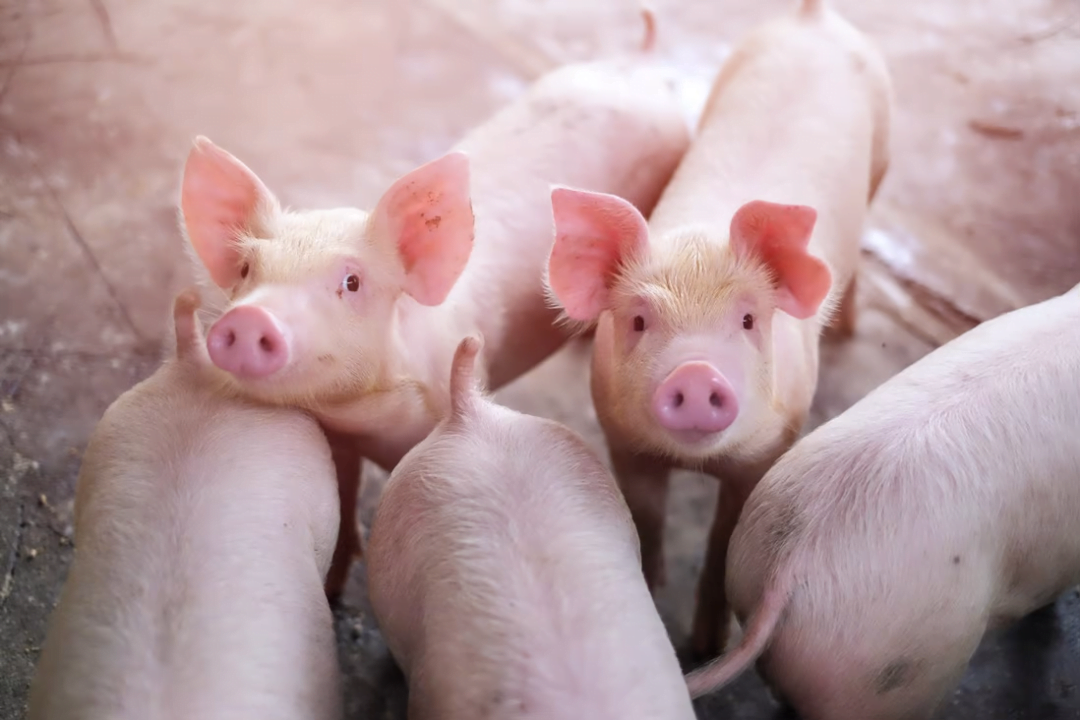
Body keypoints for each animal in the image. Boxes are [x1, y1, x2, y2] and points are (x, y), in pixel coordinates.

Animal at [177, 8, 692, 600]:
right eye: (246, 270)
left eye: (352, 282)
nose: (249, 317)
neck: (370, 419)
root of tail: (642, 60)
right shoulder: (340, 435)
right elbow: (344, 496)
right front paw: (332, 589)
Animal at [543, 0, 892, 658]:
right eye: (639, 319)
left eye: (749, 319)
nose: (697, 372)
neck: (695, 462)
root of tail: (810, 18)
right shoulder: (624, 441)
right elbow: (647, 521)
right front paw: (654, 593)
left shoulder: (771, 445)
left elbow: (722, 543)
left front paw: (704, 647)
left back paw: (849, 330)